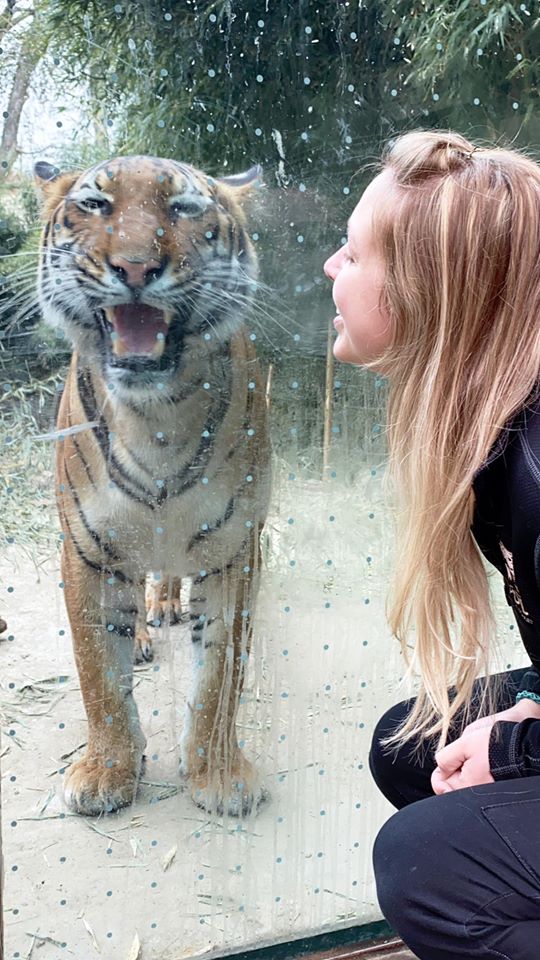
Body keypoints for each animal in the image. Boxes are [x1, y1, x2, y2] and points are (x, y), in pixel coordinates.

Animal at [34, 155, 271, 817]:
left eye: (183, 209)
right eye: (95, 205)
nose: (136, 267)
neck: (157, 419)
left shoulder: (234, 549)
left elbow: (220, 674)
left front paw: (218, 775)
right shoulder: (87, 548)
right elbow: (98, 672)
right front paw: (107, 772)